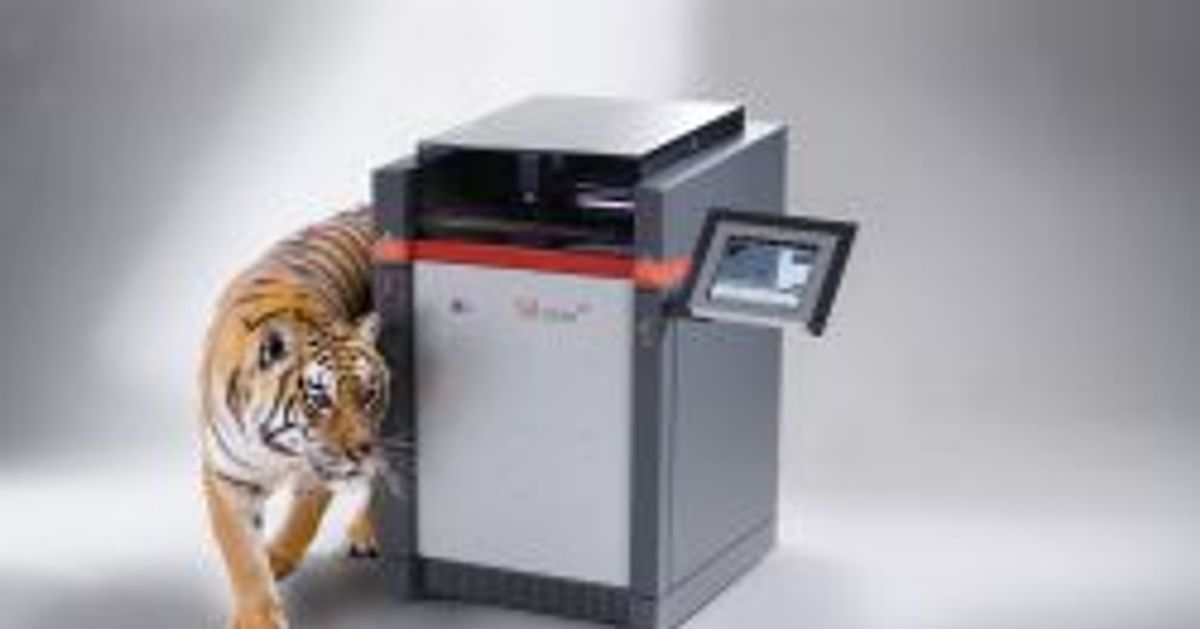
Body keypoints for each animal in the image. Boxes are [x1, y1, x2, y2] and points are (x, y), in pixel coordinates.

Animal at [198, 208, 394, 629]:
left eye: (368, 393)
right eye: (320, 399)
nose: (362, 449)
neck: (272, 444)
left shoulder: (318, 468)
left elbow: (304, 517)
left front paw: (278, 558)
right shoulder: (227, 476)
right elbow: (241, 552)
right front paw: (258, 616)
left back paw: (365, 532)